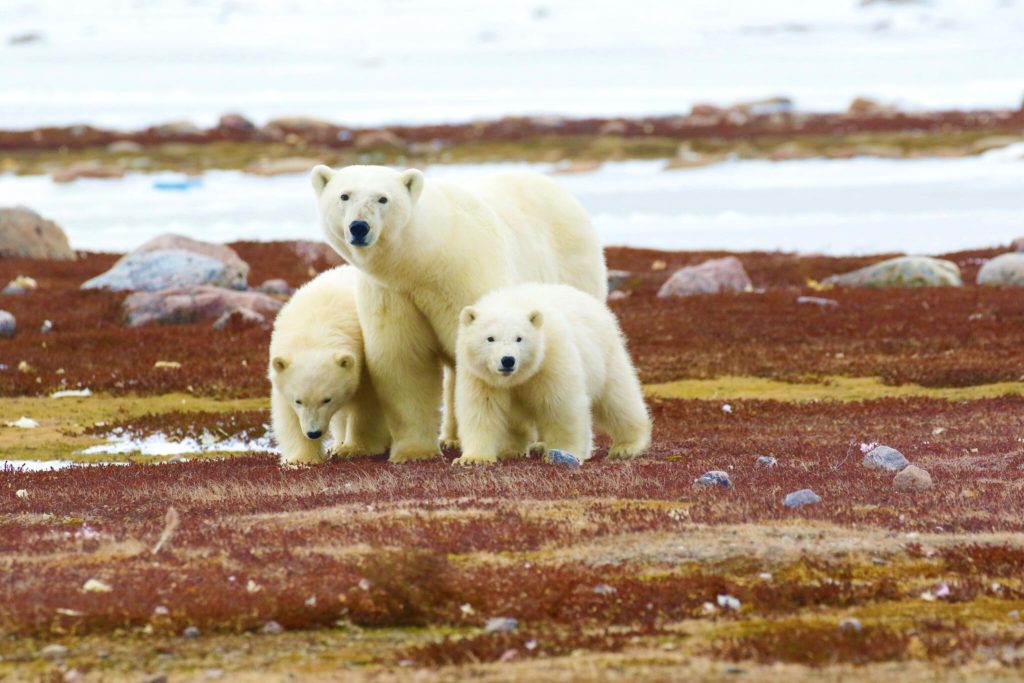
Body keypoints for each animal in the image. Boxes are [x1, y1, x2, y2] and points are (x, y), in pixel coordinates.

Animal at [268, 265, 390, 464]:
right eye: (298, 400)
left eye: (327, 399)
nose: (313, 432)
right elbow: (288, 415)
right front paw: (302, 460)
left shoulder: (364, 361)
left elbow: (368, 405)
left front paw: (354, 449)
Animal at [310, 164, 607, 463]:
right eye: (344, 195)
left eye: (383, 198)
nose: (359, 227)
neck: (427, 260)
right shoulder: (392, 293)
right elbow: (404, 361)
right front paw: (414, 452)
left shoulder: (467, 278)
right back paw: (451, 437)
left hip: (572, 269)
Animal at [453, 283, 651, 465]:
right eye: (490, 338)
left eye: (519, 338)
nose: (508, 360)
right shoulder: (479, 375)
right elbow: (481, 408)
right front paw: (472, 459)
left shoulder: (551, 360)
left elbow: (561, 406)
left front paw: (563, 453)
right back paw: (519, 448)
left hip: (606, 356)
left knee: (617, 399)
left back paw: (626, 446)